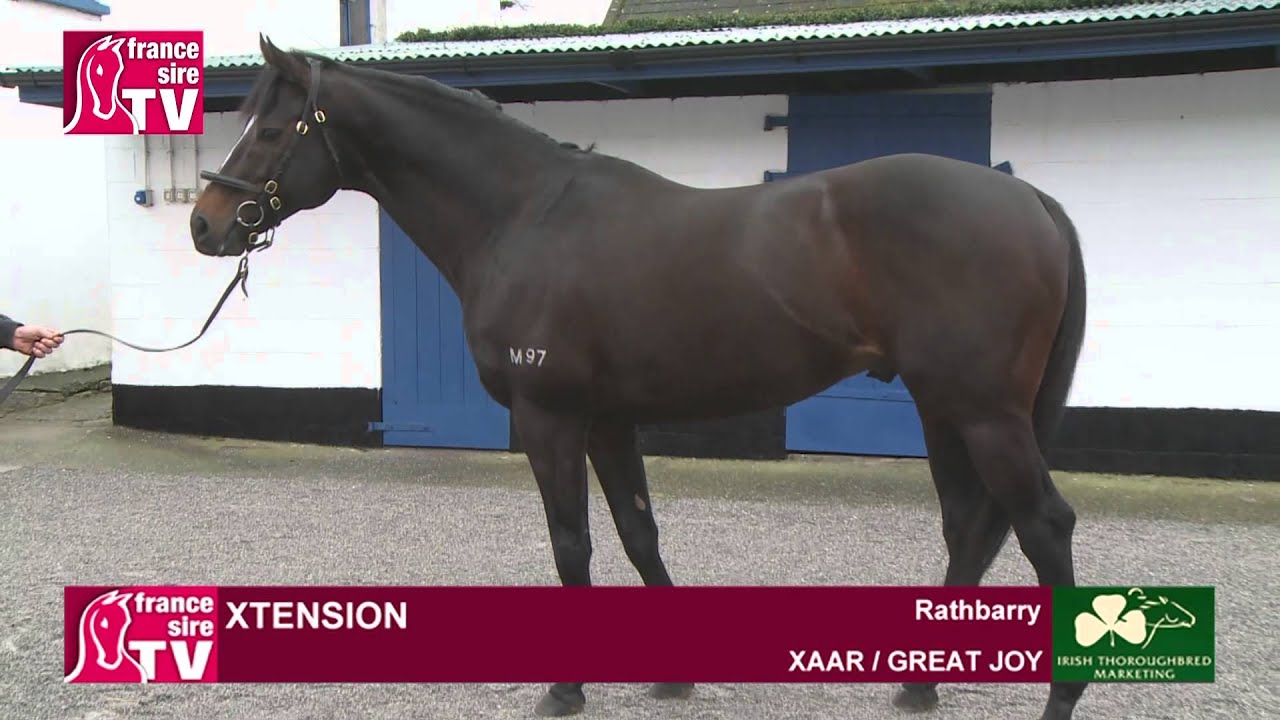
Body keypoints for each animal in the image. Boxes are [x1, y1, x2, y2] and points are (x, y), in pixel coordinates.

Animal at [190, 34, 1090, 720]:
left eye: (272, 130)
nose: (204, 224)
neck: (524, 215)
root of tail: (1033, 201)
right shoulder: (607, 419)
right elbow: (637, 530)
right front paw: (672, 675)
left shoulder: (550, 416)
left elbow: (572, 541)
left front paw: (566, 689)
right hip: (944, 407)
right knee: (970, 527)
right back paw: (918, 686)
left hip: (982, 411)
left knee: (1042, 525)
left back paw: (1056, 698)